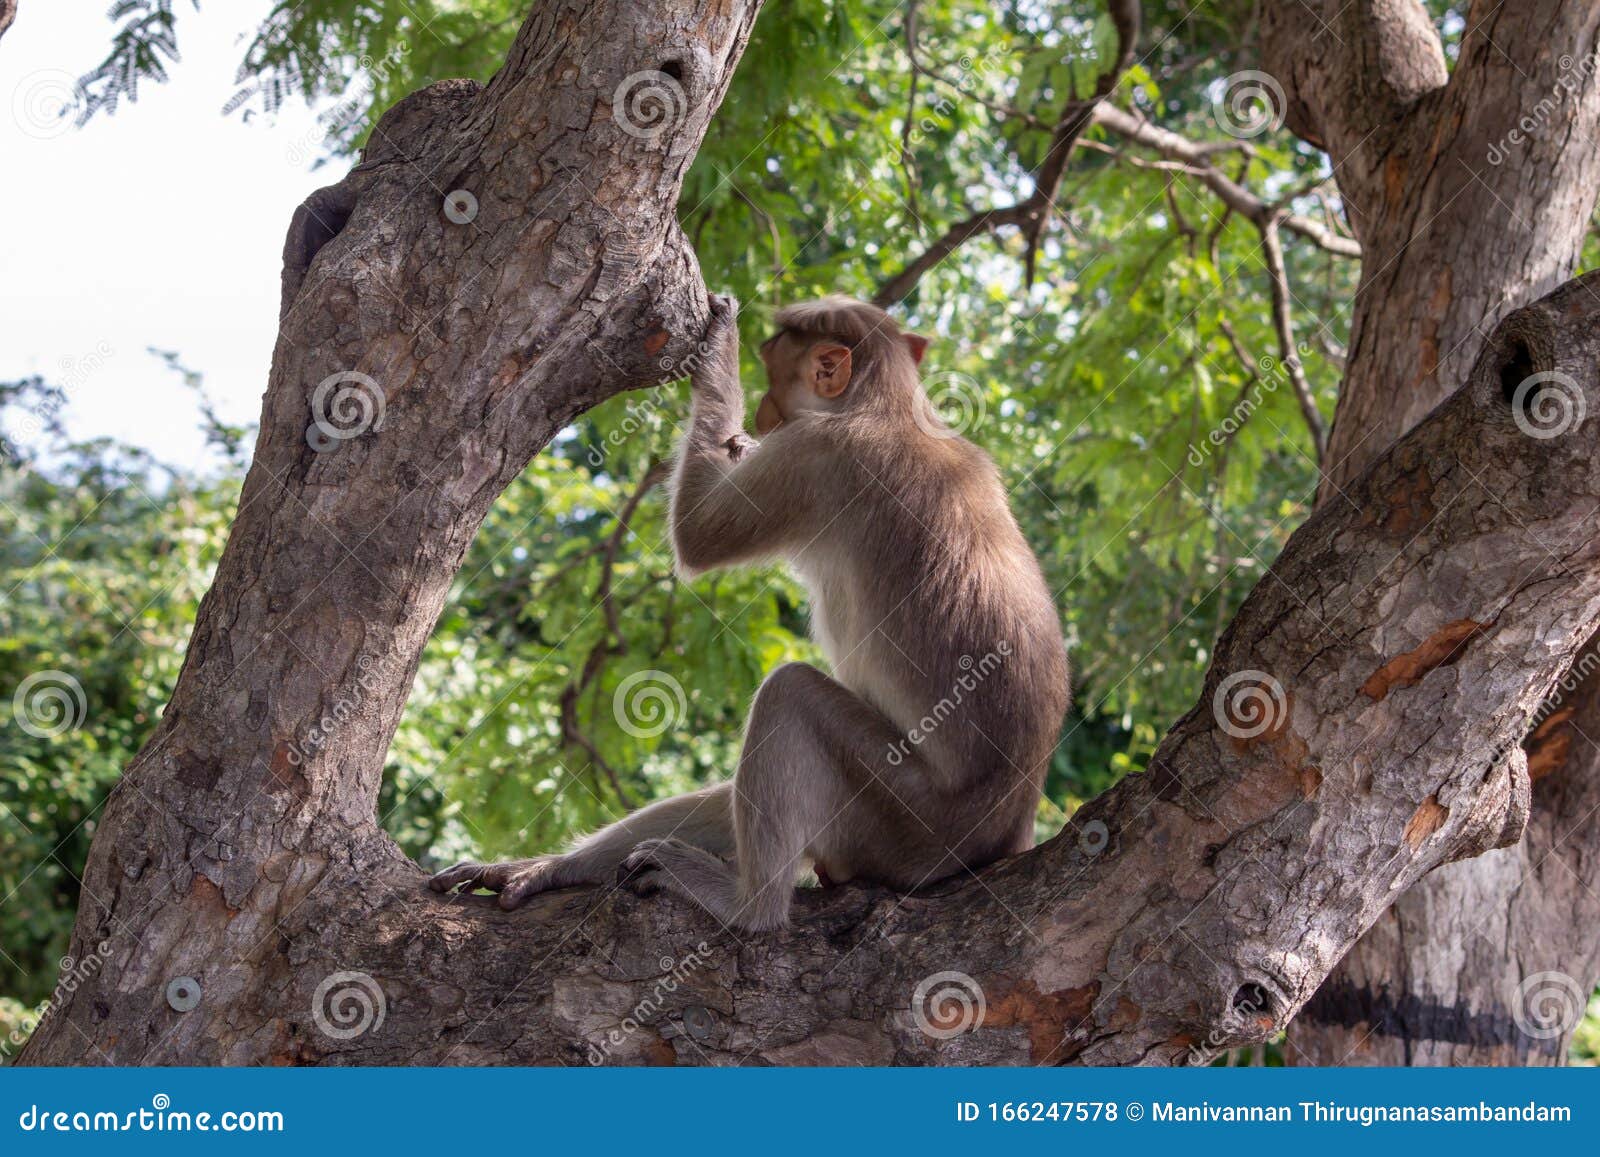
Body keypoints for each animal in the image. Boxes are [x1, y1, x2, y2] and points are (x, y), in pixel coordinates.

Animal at [430, 294, 1069, 931]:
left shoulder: (815, 453)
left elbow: (698, 537)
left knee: (791, 694)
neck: (892, 408)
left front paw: (720, 349)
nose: (760, 413)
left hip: (906, 824)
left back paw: (747, 907)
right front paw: (542, 867)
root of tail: (1007, 829)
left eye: (770, 367)